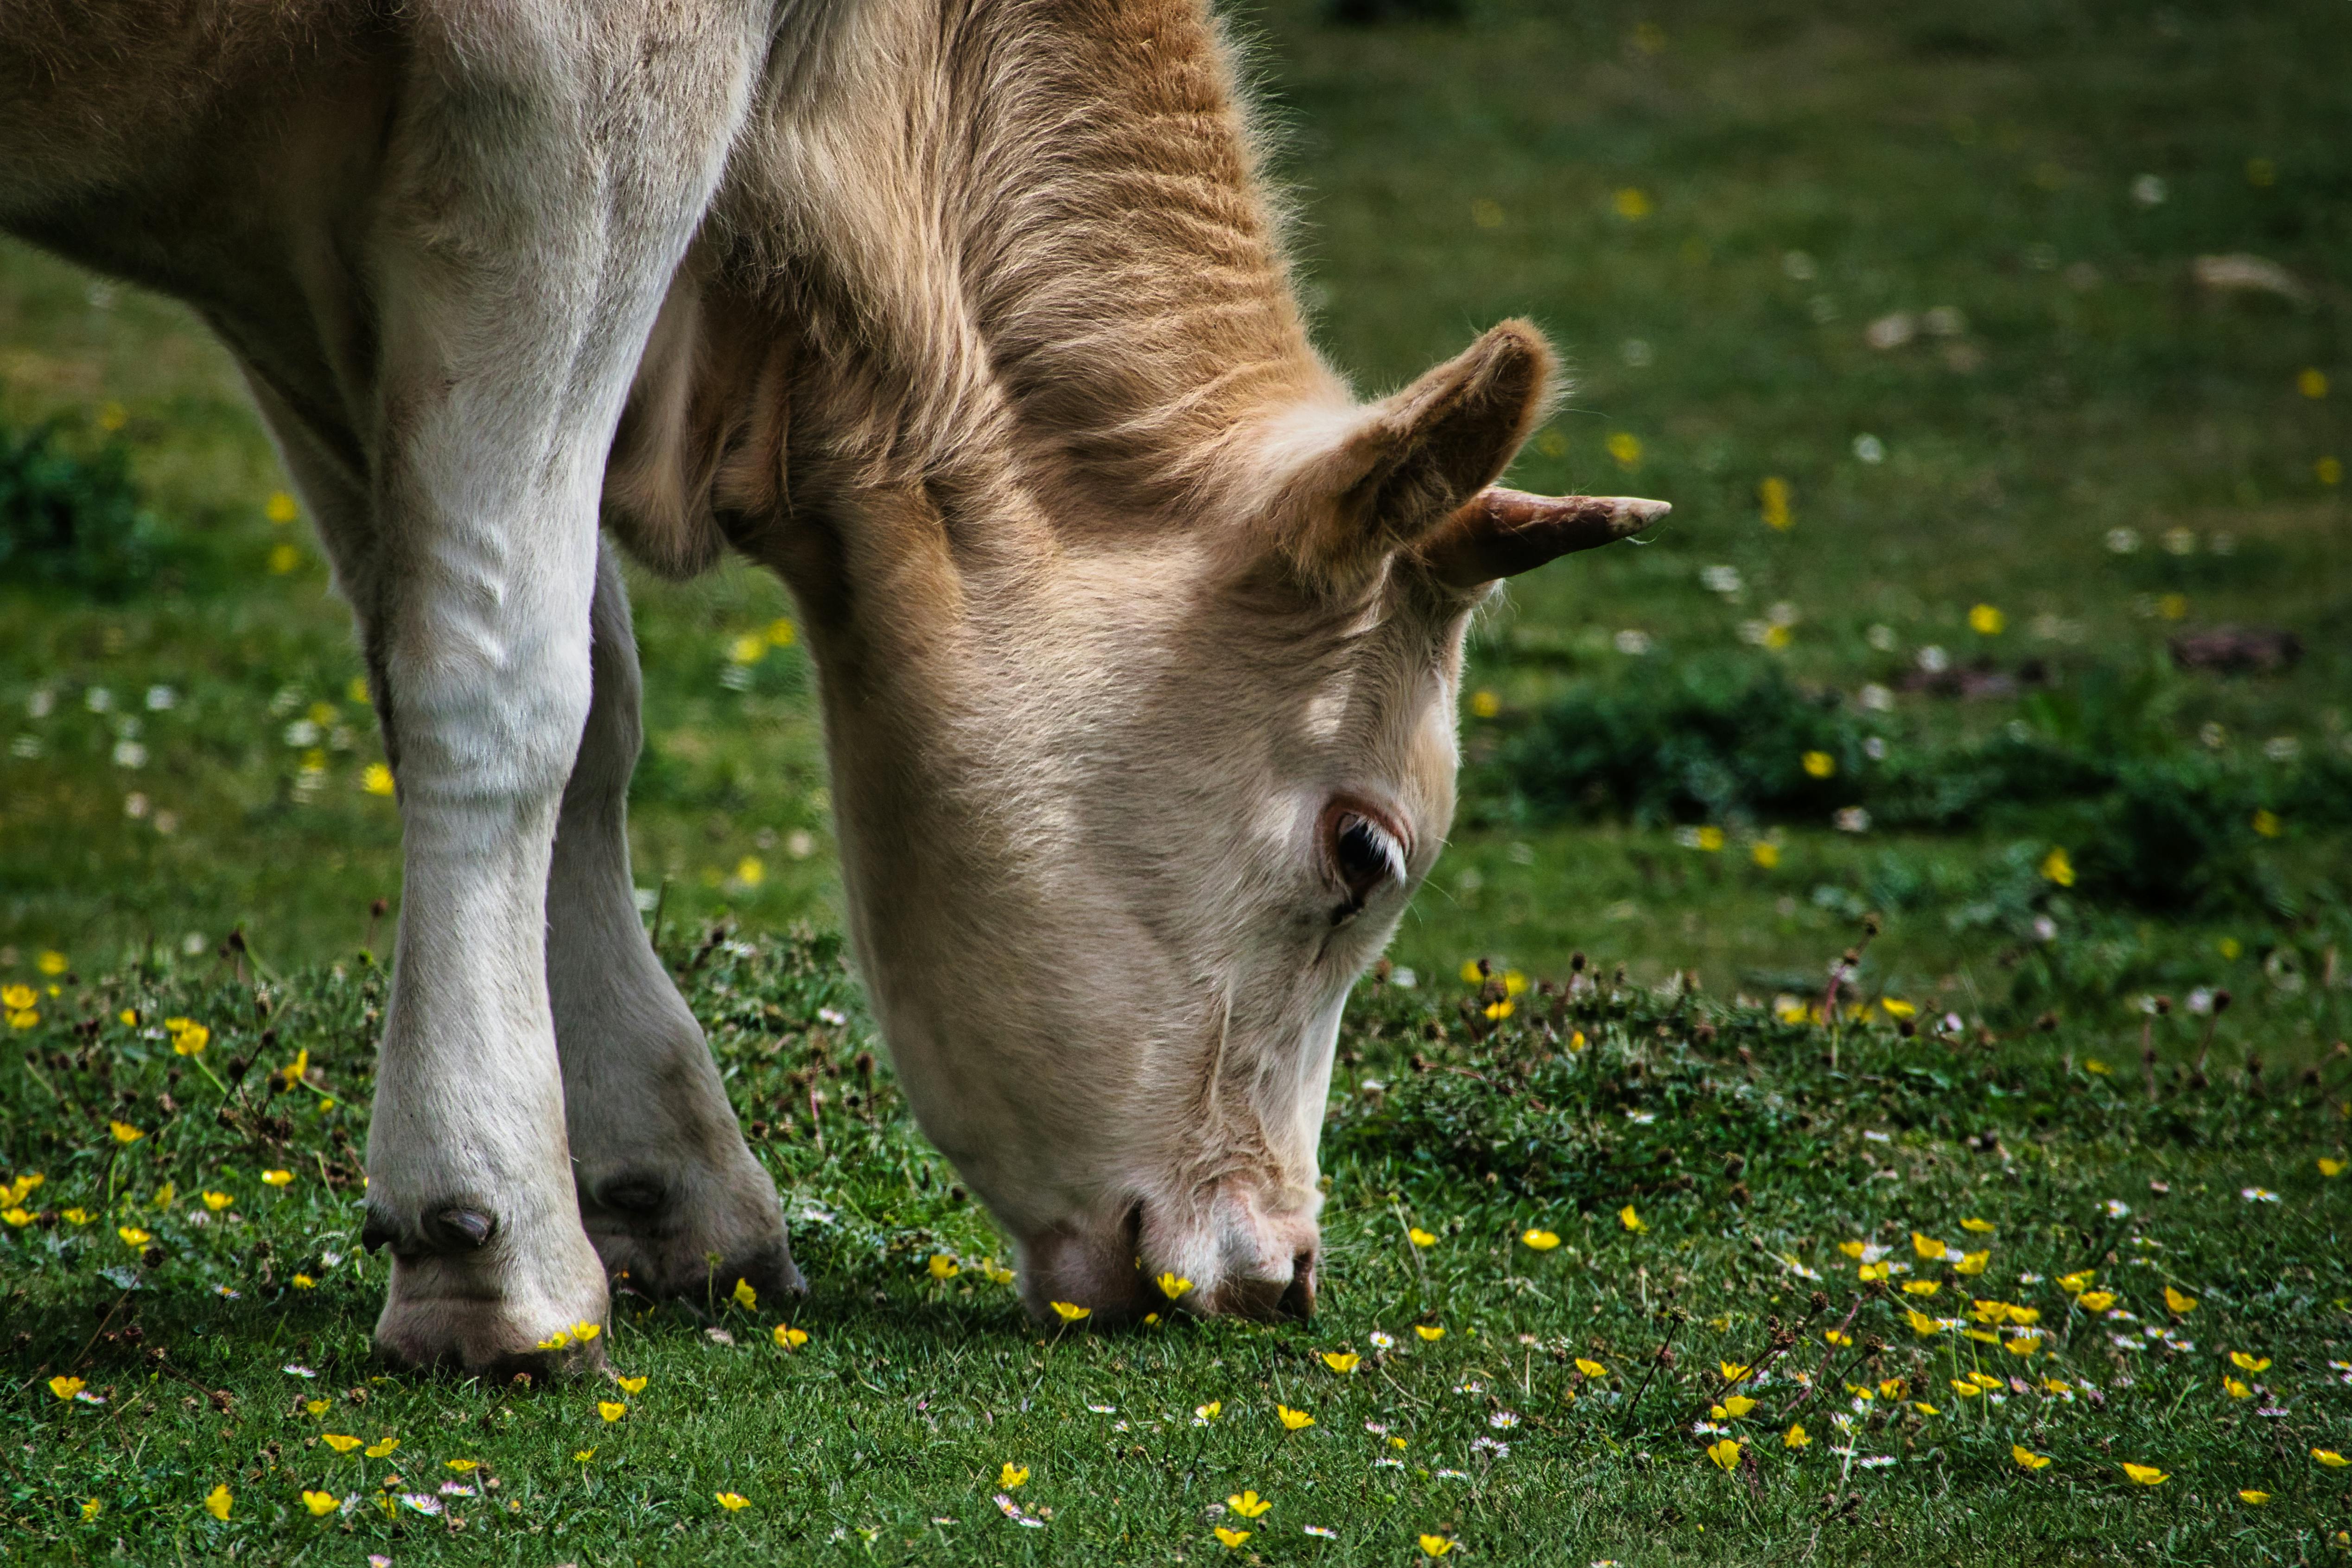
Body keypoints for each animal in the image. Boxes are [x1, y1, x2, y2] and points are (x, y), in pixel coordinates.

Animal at [0, 0, 1664, 1372]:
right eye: (1364, 852)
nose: (1279, 1273)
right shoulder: (570, 86)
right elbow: (510, 673)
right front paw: (490, 1241)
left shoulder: (305, 256)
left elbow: (551, 684)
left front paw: (660, 1180)